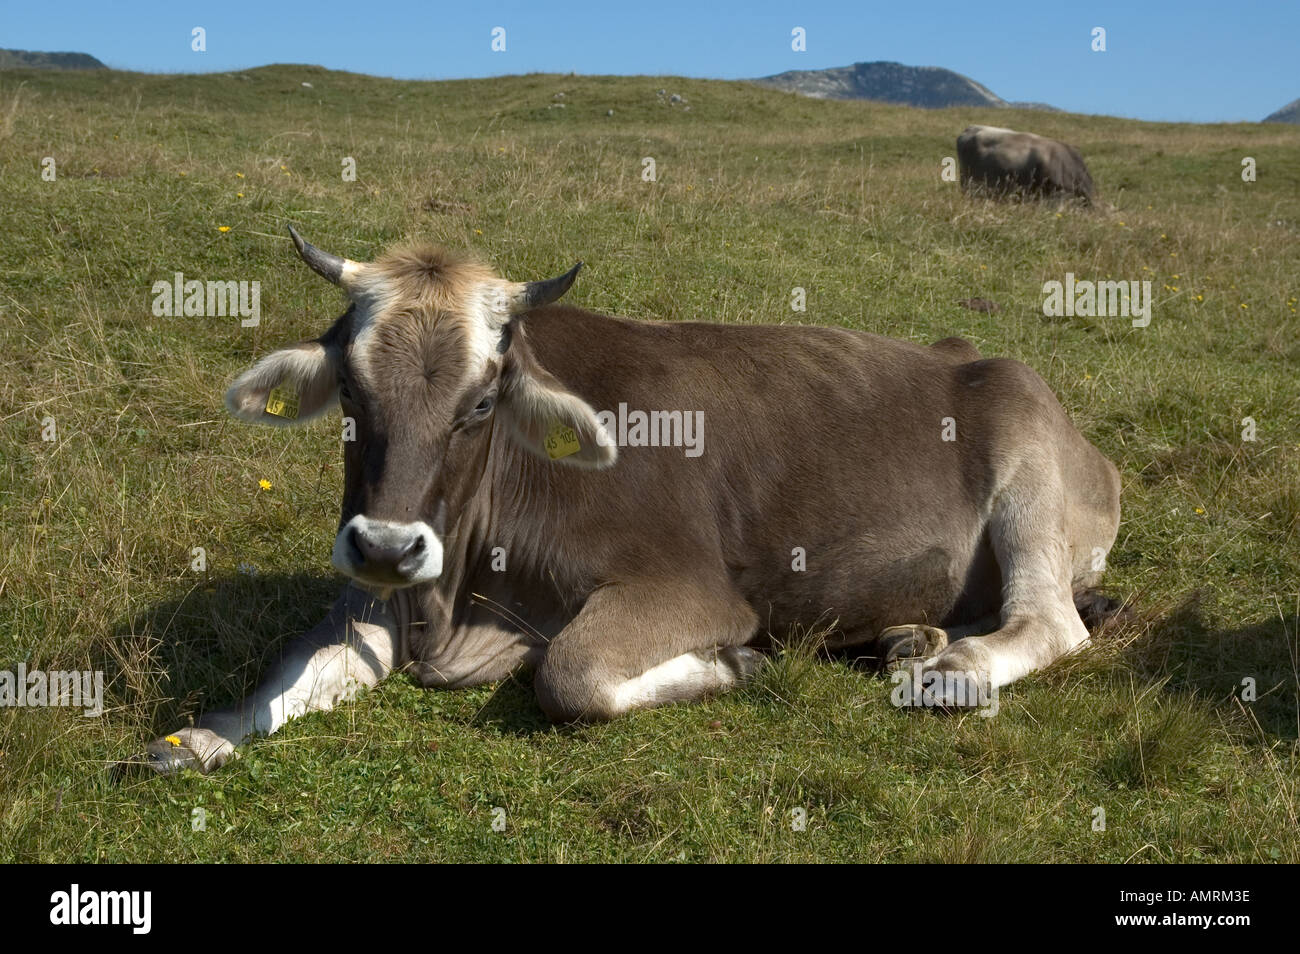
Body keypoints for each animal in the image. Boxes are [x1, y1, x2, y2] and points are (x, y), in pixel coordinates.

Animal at [143, 225, 1121, 774]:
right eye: (349, 392)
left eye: (482, 404)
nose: (386, 545)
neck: (460, 604)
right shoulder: (382, 596)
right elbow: (292, 670)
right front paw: (198, 738)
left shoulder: (692, 589)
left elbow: (570, 675)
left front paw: (735, 666)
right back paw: (910, 638)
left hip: (1030, 473)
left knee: (1050, 623)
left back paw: (951, 669)